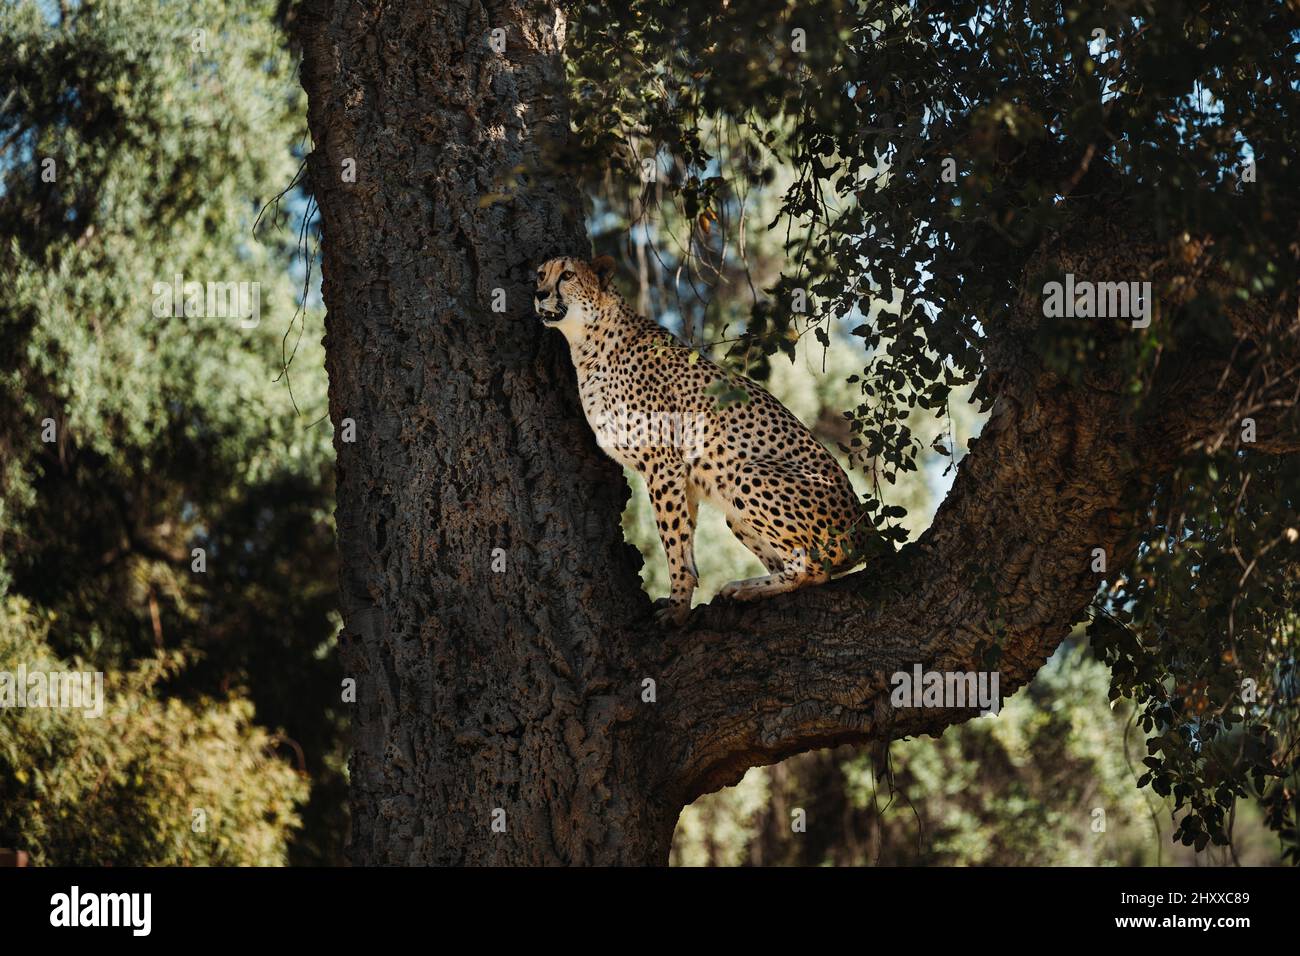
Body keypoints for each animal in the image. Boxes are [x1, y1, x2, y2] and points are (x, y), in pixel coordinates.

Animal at [535, 254, 871, 625]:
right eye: (541, 274)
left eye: (567, 275)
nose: (539, 294)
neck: (589, 342)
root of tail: (865, 525)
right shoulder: (685, 480)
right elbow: (684, 539)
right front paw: (682, 597)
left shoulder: (663, 465)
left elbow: (673, 544)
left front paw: (678, 608)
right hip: (735, 513)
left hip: (748, 474)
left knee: (810, 569)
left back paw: (745, 587)